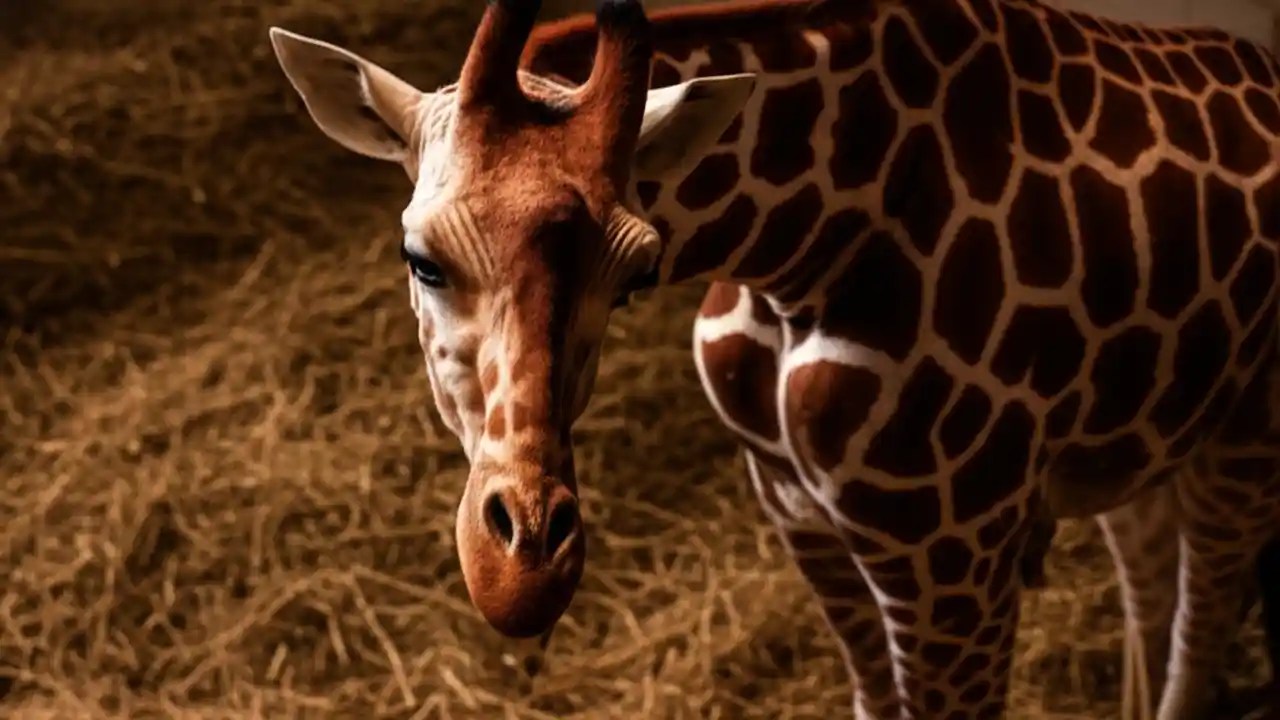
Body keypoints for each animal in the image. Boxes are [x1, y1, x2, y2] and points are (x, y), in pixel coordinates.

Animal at [267, 0, 1280, 716]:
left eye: (637, 274)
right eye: (420, 257)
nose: (520, 578)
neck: (803, 256)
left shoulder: (956, 555)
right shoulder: (800, 510)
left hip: (1241, 438)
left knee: (1206, 602)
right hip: (1141, 430)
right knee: (1153, 570)